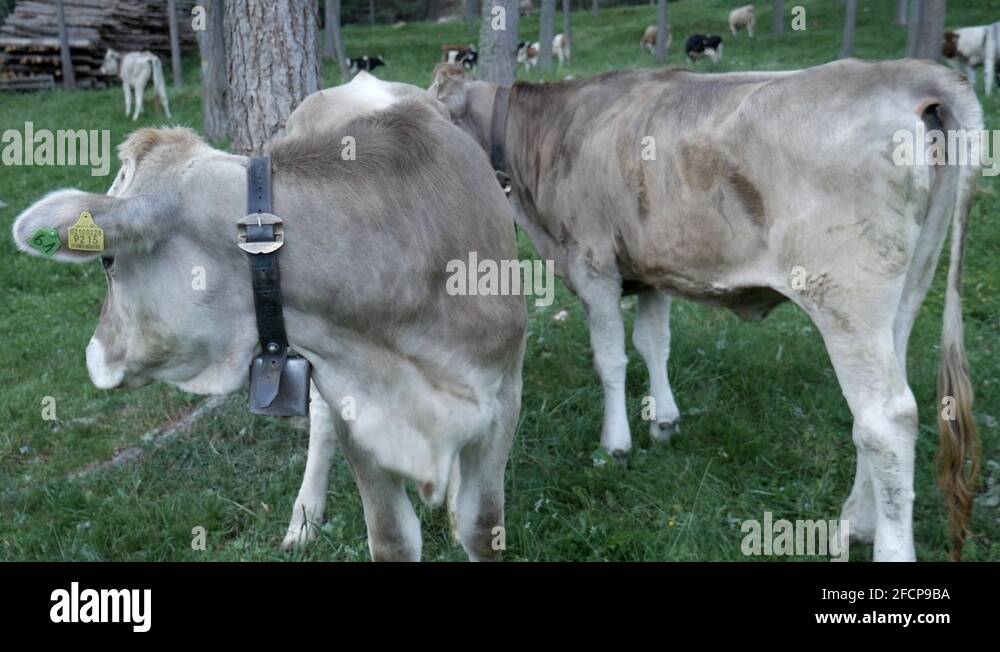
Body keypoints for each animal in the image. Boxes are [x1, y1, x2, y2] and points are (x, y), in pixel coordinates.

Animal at [12, 72, 526, 562]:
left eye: (107, 261)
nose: (94, 352)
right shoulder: (354, 404)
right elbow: (391, 538)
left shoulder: (504, 396)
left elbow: (483, 530)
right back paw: (304, 519)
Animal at [430, 60, 982, 561]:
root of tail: (905, 72)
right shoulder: (652, 267)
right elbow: (653, 345)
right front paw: (663, 422)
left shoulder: (592, 264)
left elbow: (610, 360)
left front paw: (616, 445)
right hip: (908, 289)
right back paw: (855, 523)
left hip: (847, 299)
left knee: (884, 419)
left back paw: (886, 544)